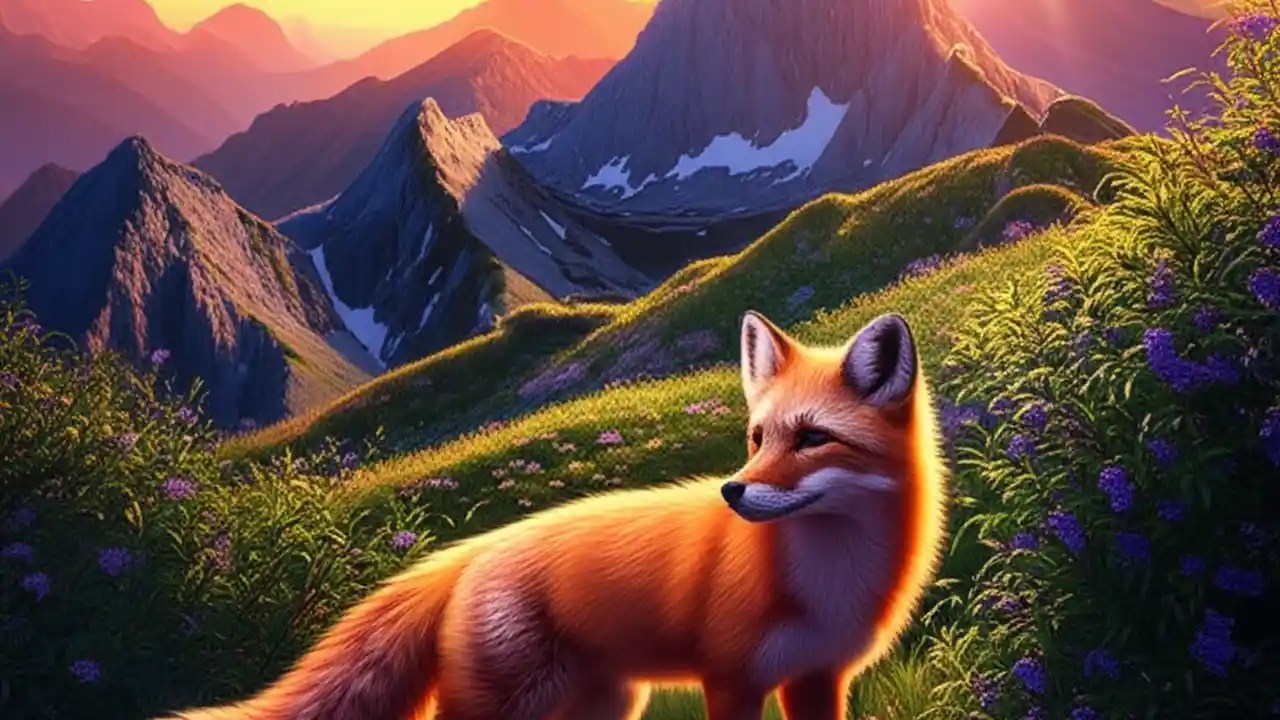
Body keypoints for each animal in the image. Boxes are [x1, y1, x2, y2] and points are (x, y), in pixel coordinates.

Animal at [164, 311, 948, 720]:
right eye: (758, 439)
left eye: (812, 438)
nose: (733, 491)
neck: (824, 583)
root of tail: (470, 549)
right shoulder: (733, 679)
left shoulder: (819, 679)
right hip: (500, 707)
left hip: (605, 704)